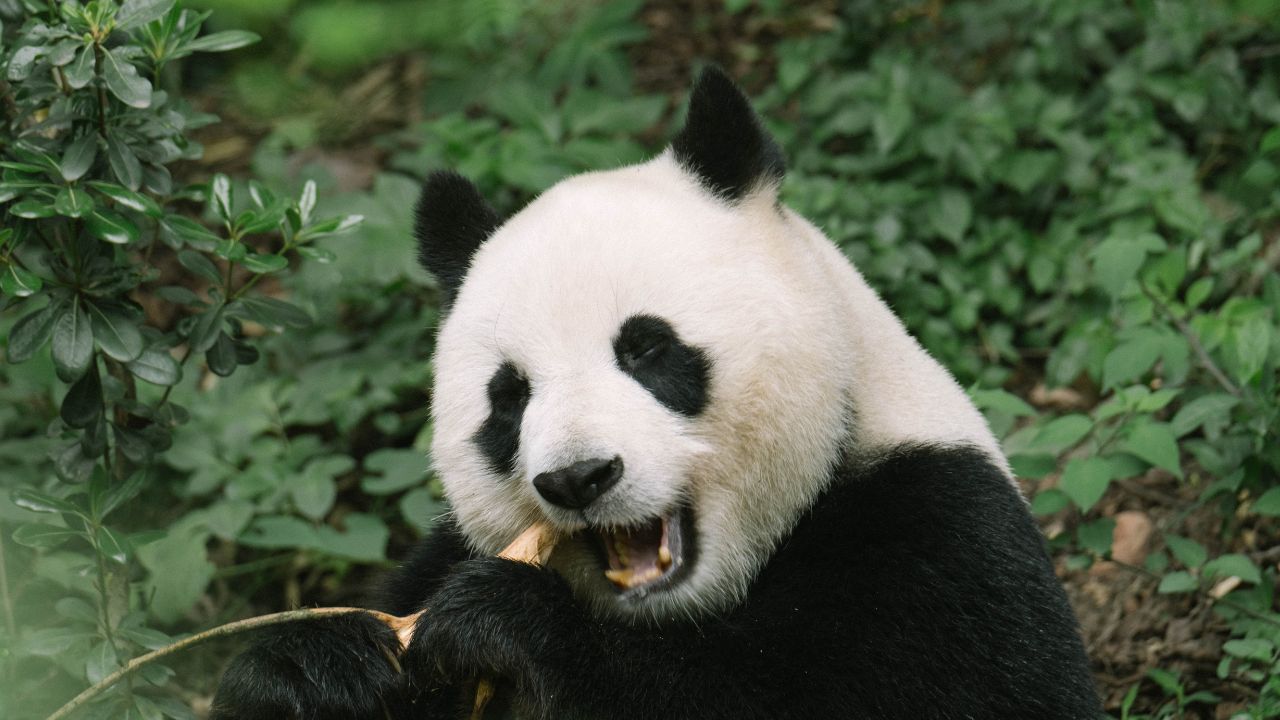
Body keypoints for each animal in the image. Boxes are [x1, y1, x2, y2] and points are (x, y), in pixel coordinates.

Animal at [211, 67, 1101, 719]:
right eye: (510, 398)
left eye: (646, 350)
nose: (579, 478)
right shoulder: (437, 560)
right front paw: (313, 669)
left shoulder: (939, 540)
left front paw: (510, 623)